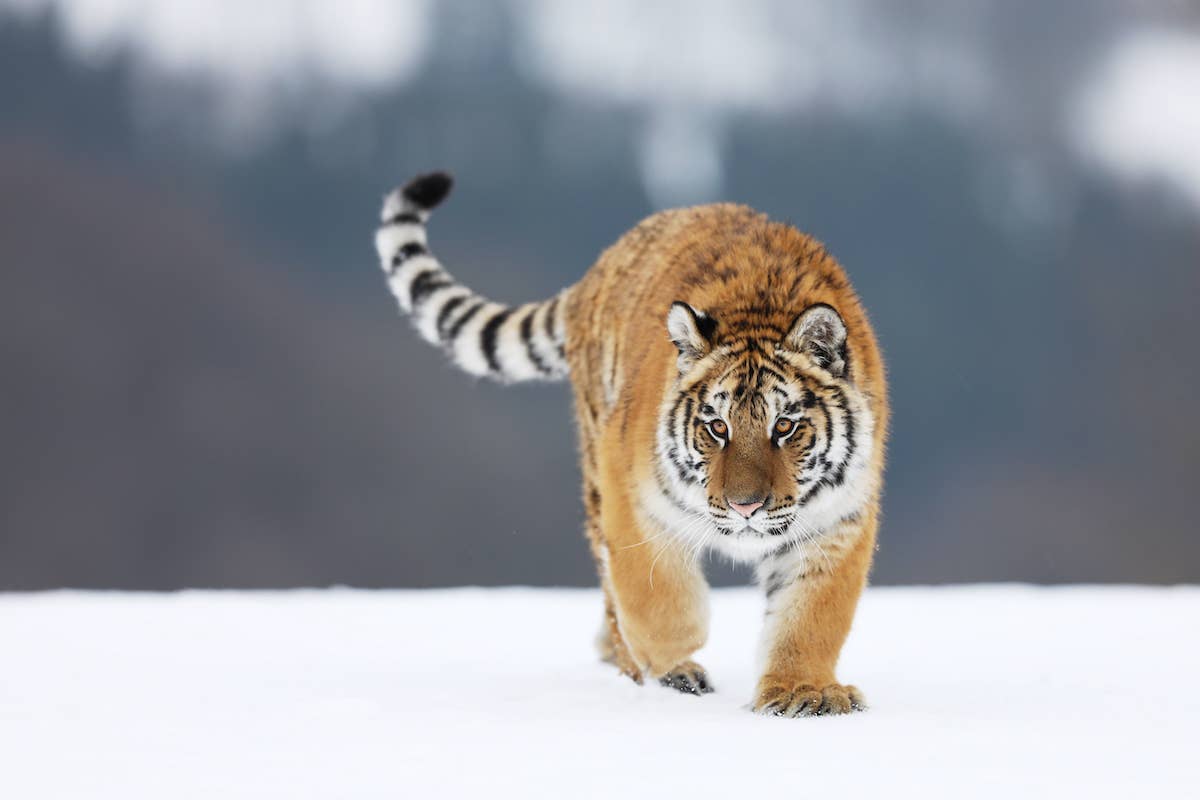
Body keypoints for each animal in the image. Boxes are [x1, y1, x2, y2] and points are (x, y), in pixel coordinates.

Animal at [374, 172, 888, 716]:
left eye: (785, 427)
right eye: (717, 428)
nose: (745, 507)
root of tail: (593, 272)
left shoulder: (837, 521)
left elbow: (811, 616)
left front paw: (802, 692)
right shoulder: (632, 496)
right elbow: (656, 597)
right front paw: (674, 664)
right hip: (597, 477)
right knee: (613, 590)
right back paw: (633, 660)